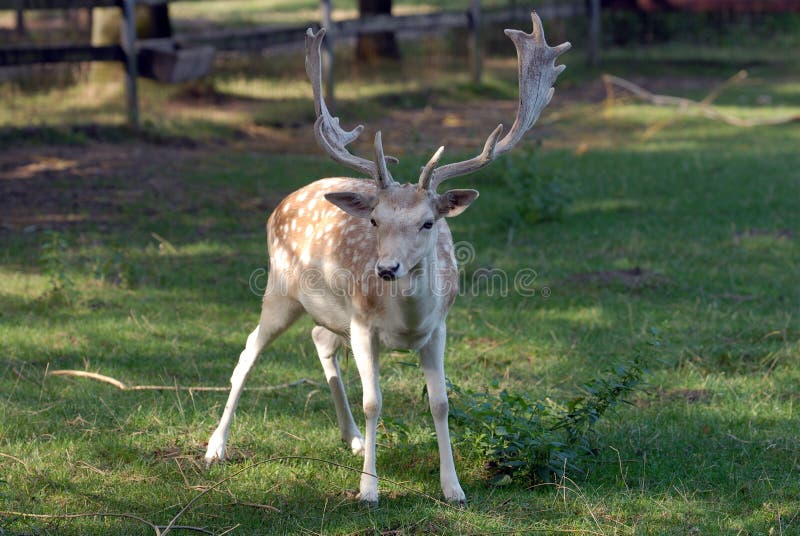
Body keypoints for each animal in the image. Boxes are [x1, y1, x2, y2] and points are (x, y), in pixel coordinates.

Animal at [203, 12, 569, 505]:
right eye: (375, 220)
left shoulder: (438, 328)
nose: (385, 269)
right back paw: (216, 447)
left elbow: (441, 402)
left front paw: (453, 488)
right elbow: (374, 401)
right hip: (279, 290)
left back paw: (353, 439)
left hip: (327, 312)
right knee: (248, 351)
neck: (406, 322)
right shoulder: (363, 325)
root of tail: (281, 203)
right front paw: (368, 491)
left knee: (320, 340)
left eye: (428, 223)